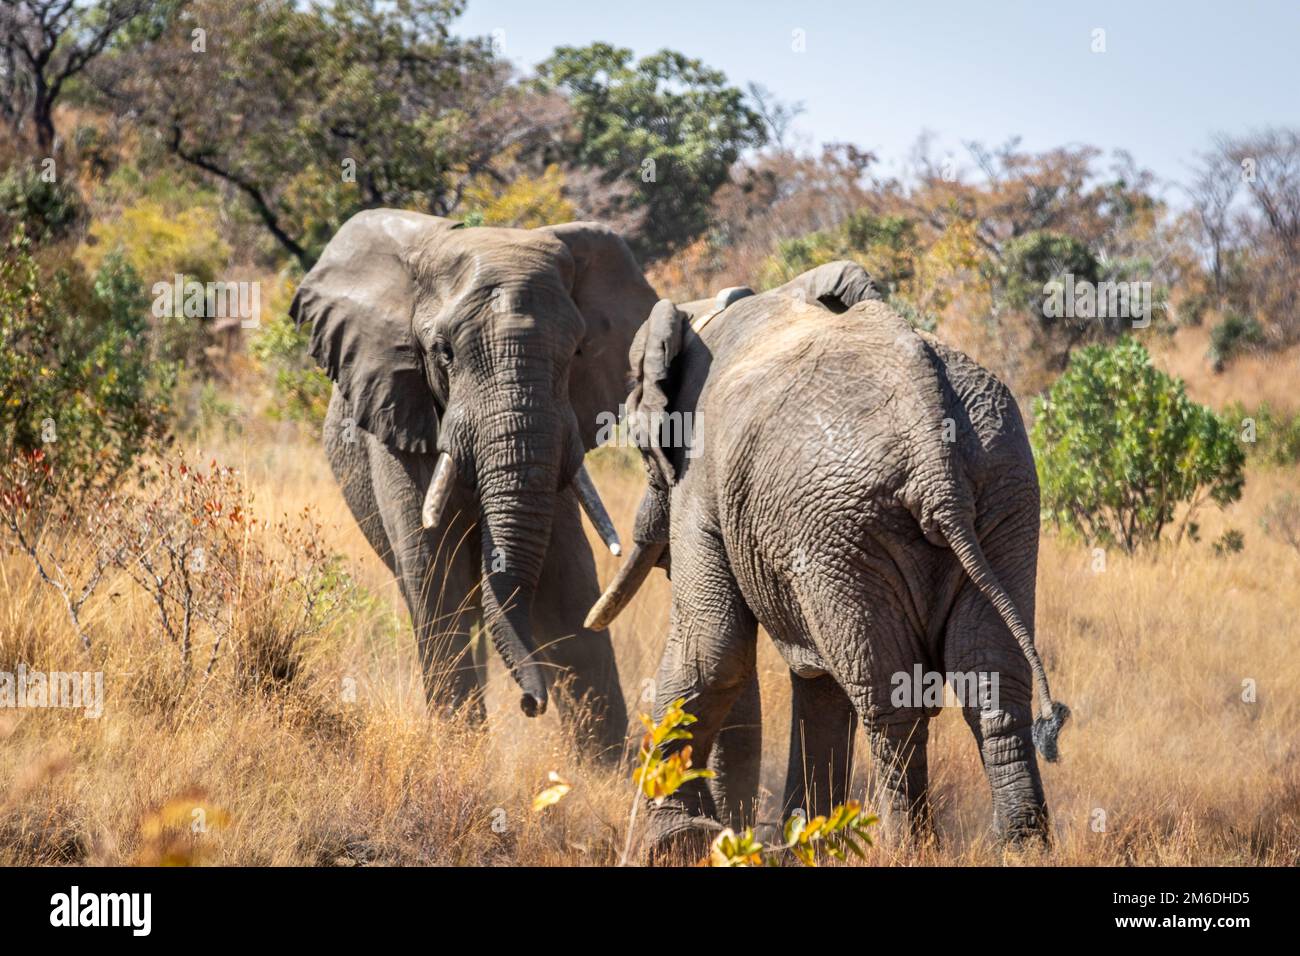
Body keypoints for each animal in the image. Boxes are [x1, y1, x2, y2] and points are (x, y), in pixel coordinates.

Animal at [290, 209, 659, 760]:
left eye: (577, 351)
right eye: (443, 353)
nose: (530, 704)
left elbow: (568, 588)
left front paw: (603, 771)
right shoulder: (401, 422)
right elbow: (435, 576)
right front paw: (459, 754)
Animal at [587, 261, 1070, 852]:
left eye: (640, 445)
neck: (706, 311)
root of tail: (934, 448)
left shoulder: (702, 483)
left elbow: (713, 649)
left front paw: (674, 843)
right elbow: (811, 678)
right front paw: (806, 845)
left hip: (846, 523)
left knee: (888, 694)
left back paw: (905, 848)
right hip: (999, 494)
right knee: (990, 678)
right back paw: (1020, 844)